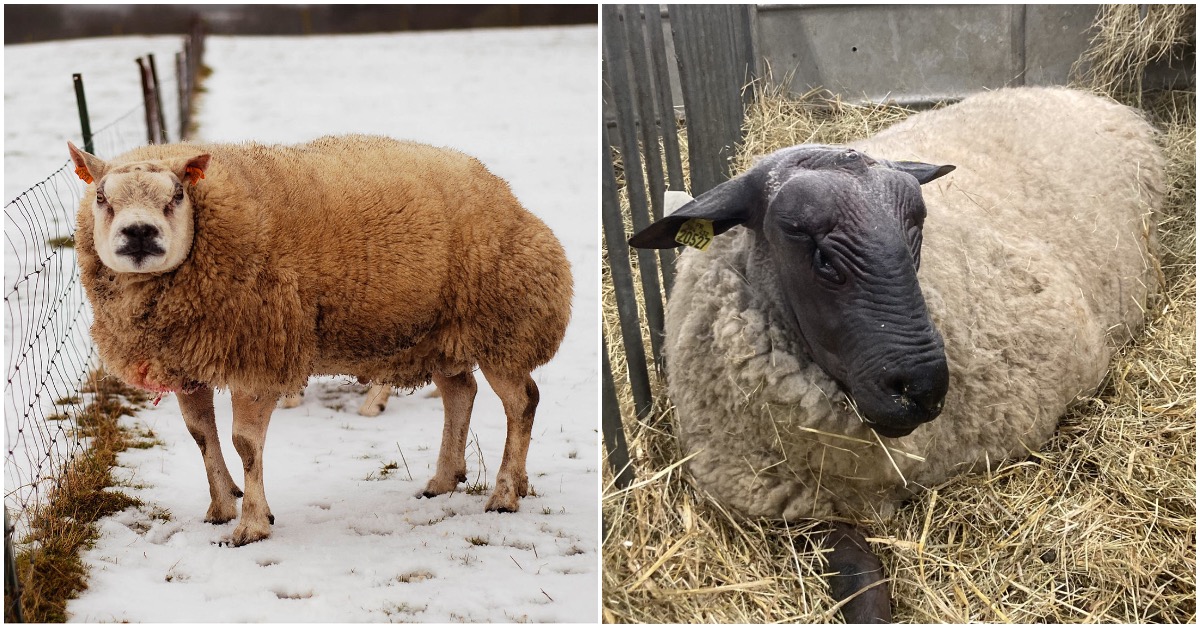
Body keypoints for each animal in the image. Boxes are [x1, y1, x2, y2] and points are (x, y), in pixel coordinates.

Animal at [69, 134, 573, 546]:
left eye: (176, 195)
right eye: (101, 197)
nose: (139, 233)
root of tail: (504, 192)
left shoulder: (260, 354)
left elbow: (244, 443)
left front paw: (251, 526)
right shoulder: (187, 362)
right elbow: (201, 436)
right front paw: (220, 507)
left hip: (502, 325)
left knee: (522, 402)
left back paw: (504, 494)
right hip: (441, 333)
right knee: (460, 393)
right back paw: (447, 480)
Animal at [627, 87, 1162, 622]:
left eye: (918, 229)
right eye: (816, 251)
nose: (922, 388)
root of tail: (1085, 95)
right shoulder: (788, 507)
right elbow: (861, 578)